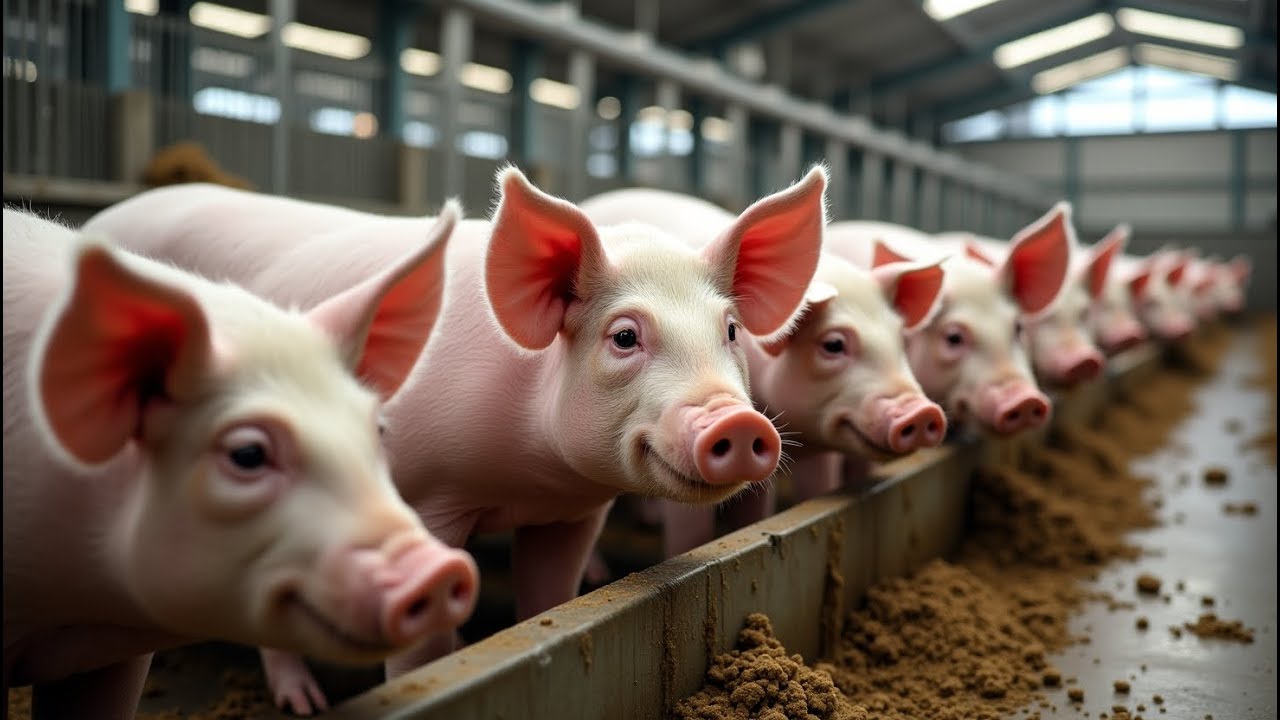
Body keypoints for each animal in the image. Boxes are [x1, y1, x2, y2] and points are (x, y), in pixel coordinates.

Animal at [82, 165, 828, 713]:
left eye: (729, 329)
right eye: (624, 336)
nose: (738, 422)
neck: (525, 478)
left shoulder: (574, 511)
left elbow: (551, 599)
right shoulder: (428, 501)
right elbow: (423, 652)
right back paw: (305, 704)